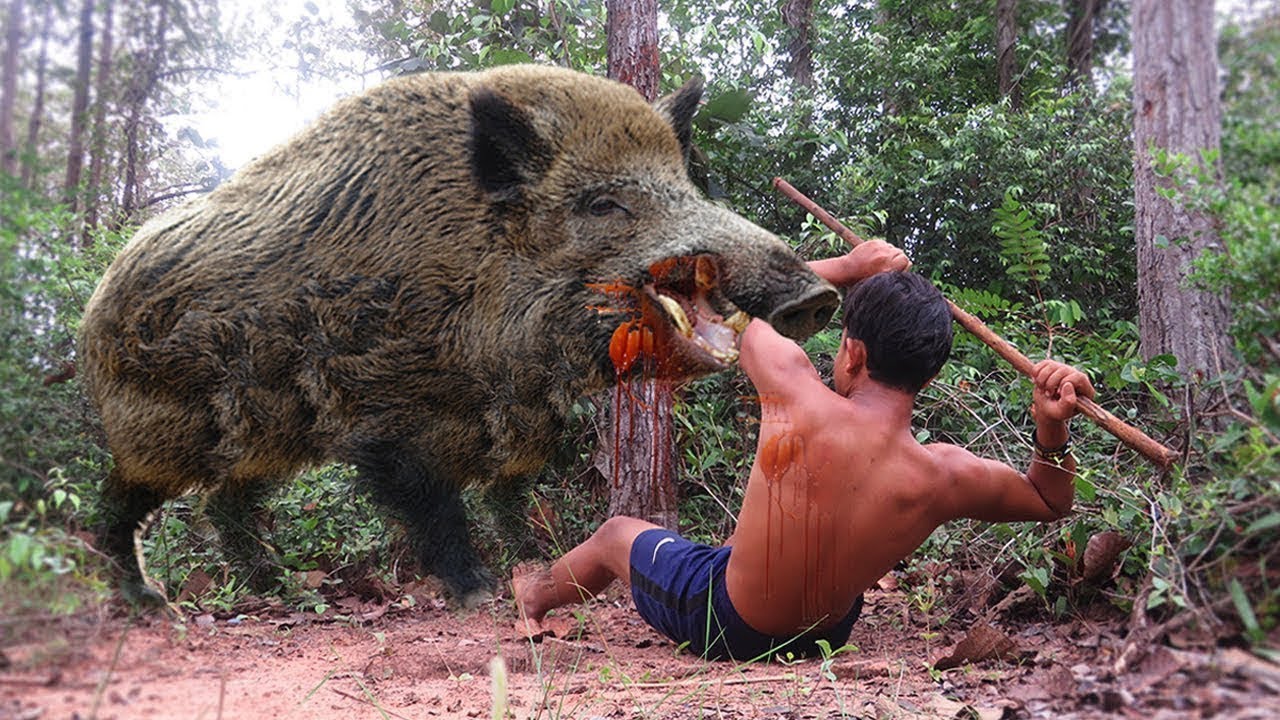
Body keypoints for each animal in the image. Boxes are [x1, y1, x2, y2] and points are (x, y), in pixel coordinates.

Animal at [79, 64, 839, 608]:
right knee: (122, 499)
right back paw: (148, 601)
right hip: (159, 424)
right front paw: (476, 593)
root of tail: (95, 305)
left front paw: (531, 558)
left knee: (225, 502)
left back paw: (277, 591)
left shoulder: (525, 416)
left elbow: (511, 492)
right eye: (602, 204)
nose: (818, 296)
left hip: (263, 439)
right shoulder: (390, 411)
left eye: (686, 184)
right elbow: (434, 502)